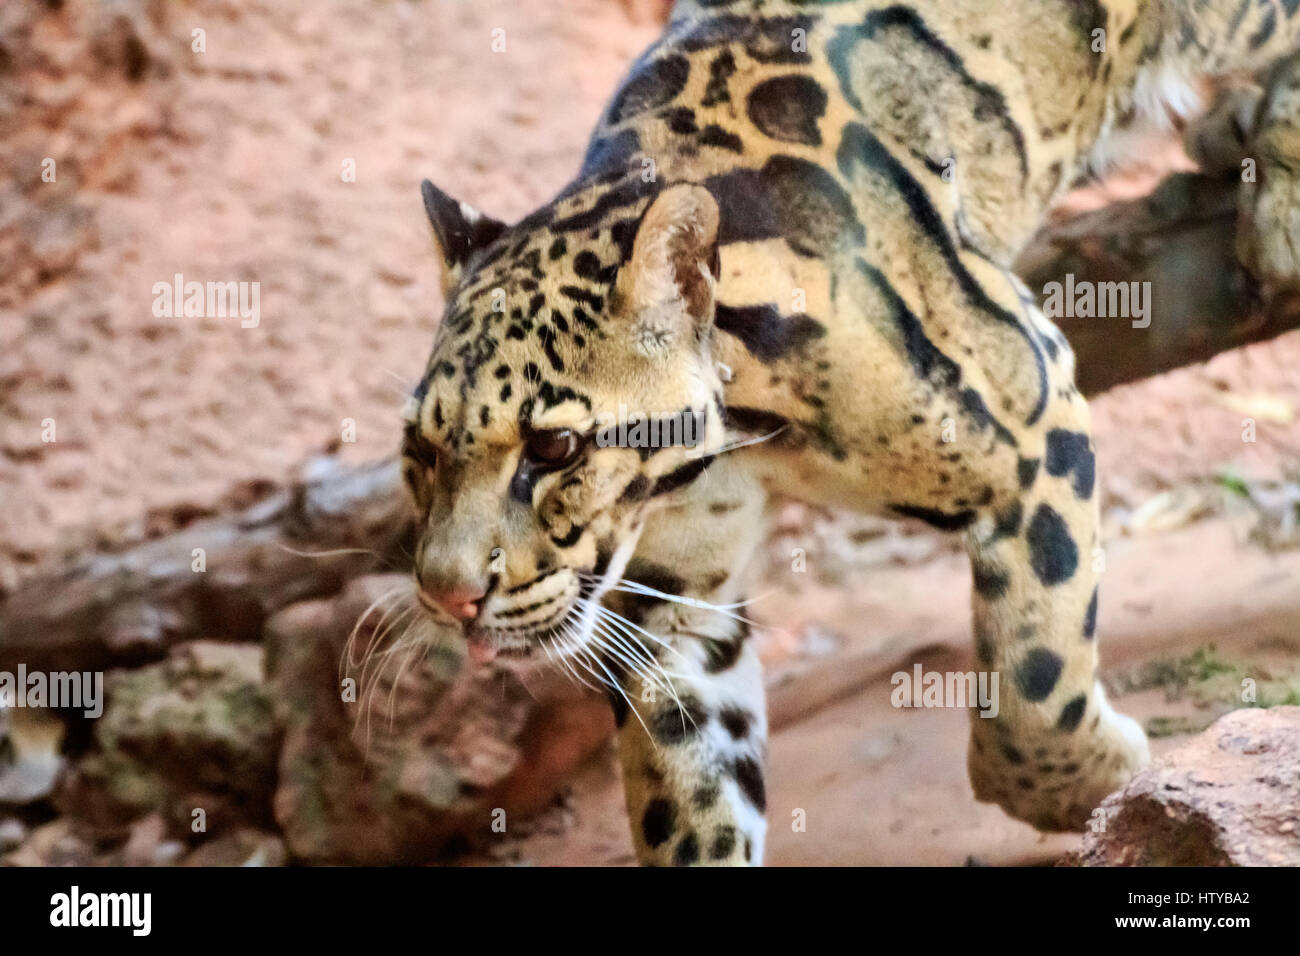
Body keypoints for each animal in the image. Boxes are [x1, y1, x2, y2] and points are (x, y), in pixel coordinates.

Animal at [401, 0, 1300, 865]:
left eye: (555, 449)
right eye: (420, 451)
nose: (448, 598)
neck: (741, 435)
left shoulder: (1032, 415)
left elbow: (1032, 692)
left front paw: (1107, 779)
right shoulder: (673, 603)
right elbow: (689, 795)